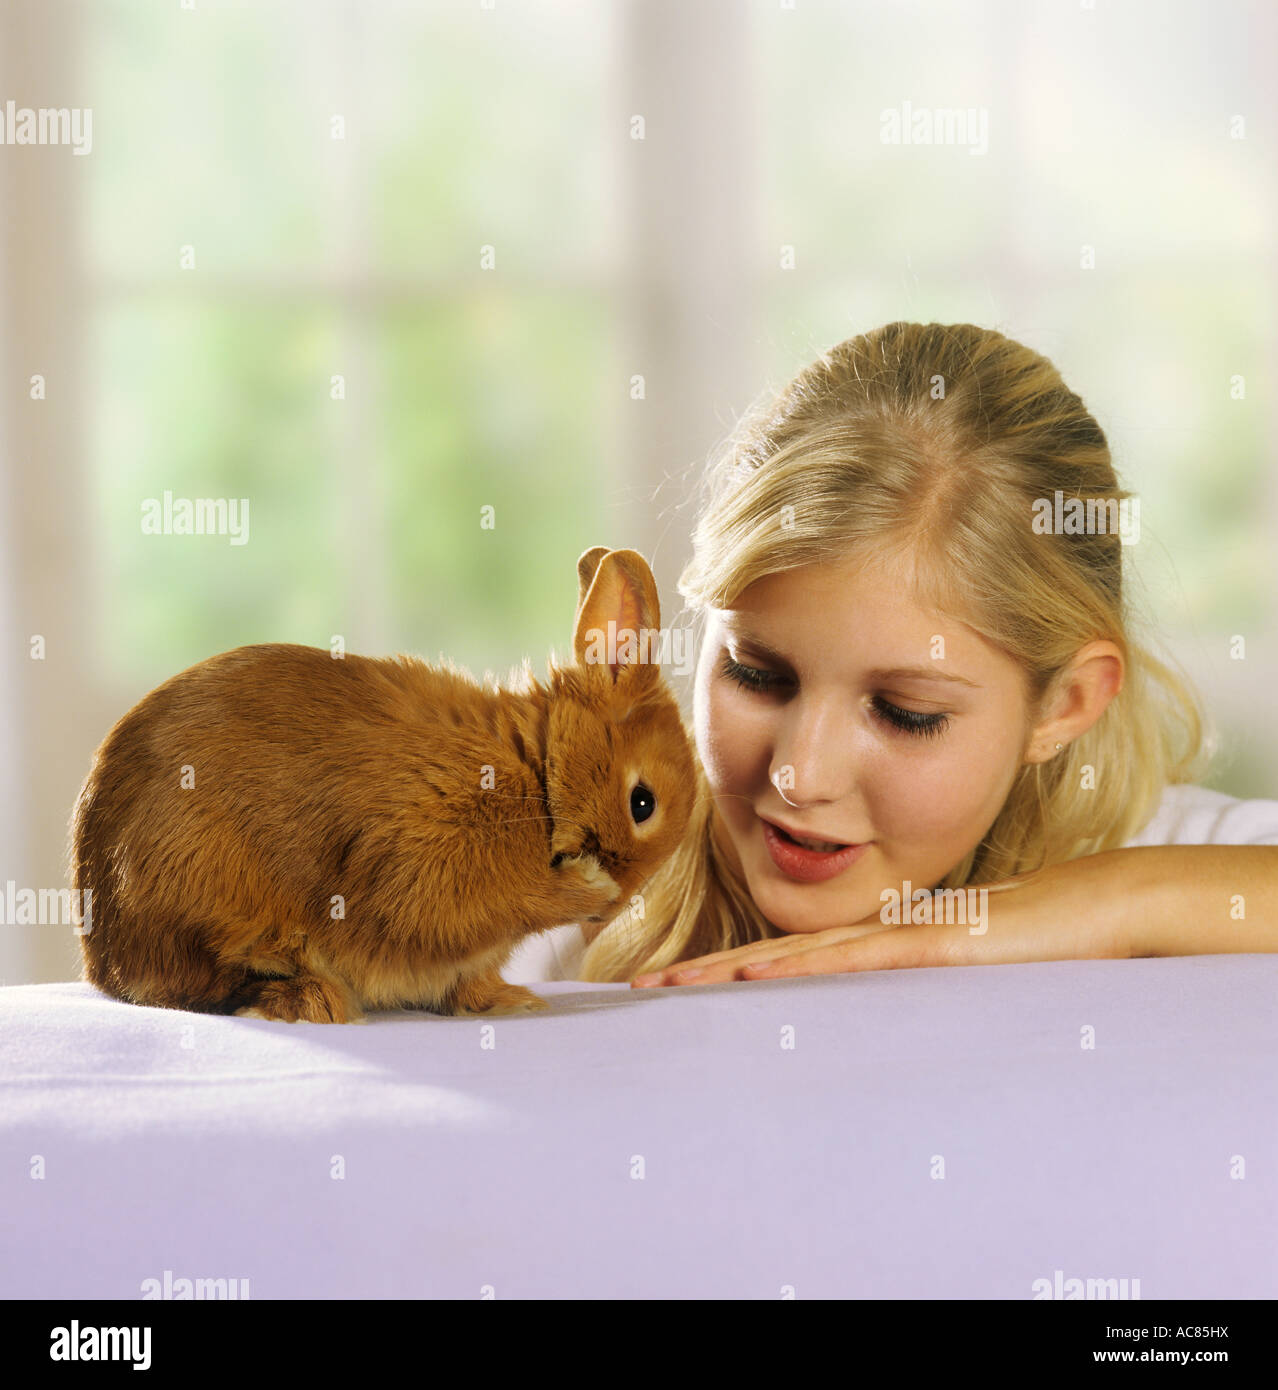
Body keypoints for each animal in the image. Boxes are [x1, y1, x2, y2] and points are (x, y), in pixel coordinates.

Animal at [71, 547, 696, 1022]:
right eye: (642, 803)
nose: (612, 903)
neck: (535, 770)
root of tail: (102, 952)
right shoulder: (429, 853)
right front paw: (588, 888)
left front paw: (507, 1001)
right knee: (208, 985)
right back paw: (309, 1002)